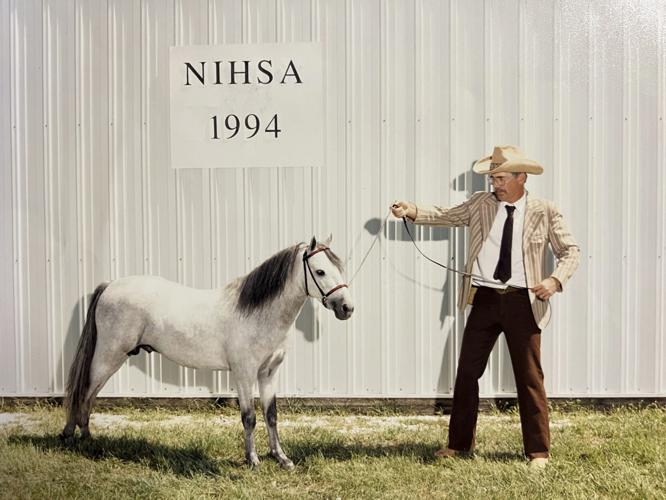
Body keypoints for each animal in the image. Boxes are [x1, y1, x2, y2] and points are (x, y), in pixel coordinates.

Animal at [61, 235, 354, 469]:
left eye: (339, 268)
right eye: (320, 271)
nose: (347, 308)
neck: (258, 313)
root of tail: (109, 285)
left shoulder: (268, 373)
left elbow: (271, 415)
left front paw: (281, 458)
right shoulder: (244, 374)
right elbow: (249, 417)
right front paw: (253, 460)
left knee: (90, 394)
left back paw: (84, 437)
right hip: (108, 356)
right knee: (84, 391)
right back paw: (75, 438)